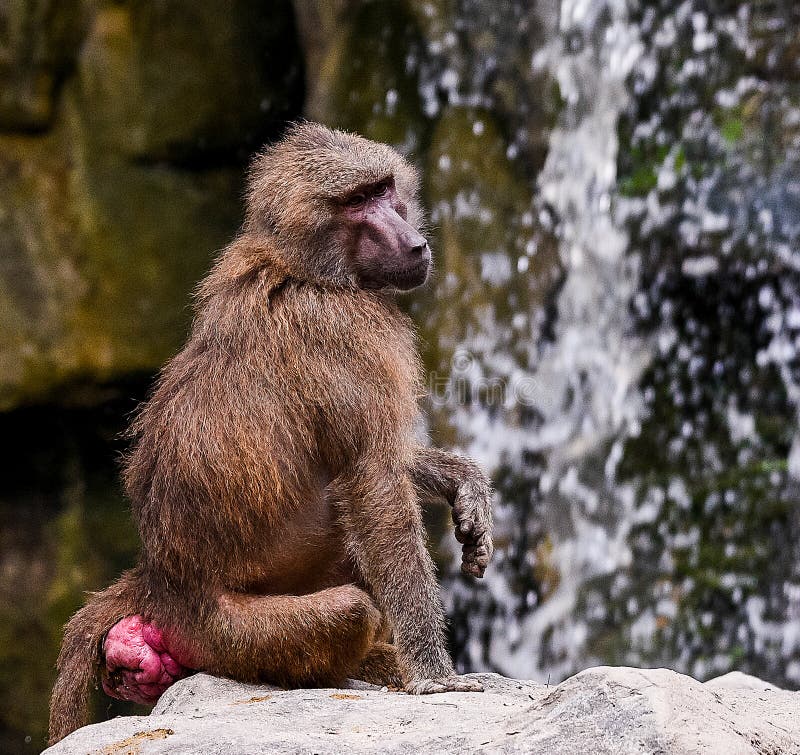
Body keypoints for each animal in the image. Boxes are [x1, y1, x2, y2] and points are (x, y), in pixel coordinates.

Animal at [48, 122, 494, 745]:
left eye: (385, 189)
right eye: (357, 201)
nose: (416, 246)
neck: (308, 268)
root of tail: (158, 580)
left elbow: (386, 465)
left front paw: (465, 487)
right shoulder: (348, 333)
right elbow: (375, 480)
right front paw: (436, 678)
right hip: (230, 633)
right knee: (348, 606)